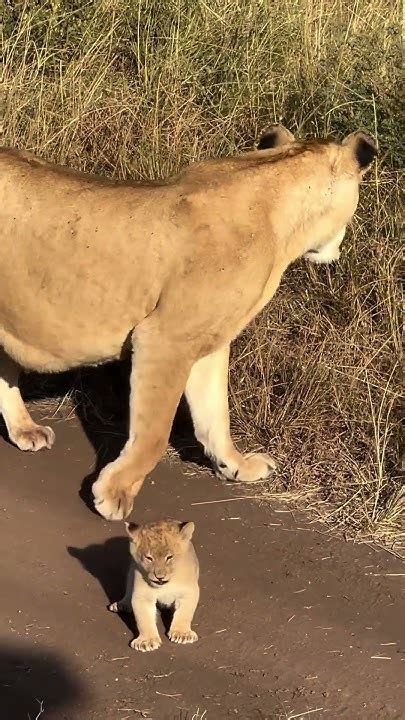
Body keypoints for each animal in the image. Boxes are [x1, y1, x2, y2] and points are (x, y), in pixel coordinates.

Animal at [0, 125, 377, 519]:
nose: (338, 251)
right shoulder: (165, 338)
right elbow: (154, 434)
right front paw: (115, 494)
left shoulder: (210, 342)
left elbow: (216, 414)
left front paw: (236, 466)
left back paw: (25, 429)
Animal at [109, 519, 199, 651]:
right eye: (149, 558)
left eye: (169, 557)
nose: (159, 577)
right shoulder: (143, 596)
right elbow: (144, 619)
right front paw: (146, 641)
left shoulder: (188, 592)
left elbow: (184, 613)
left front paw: (182, 634)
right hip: (132, 570)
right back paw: (122, 604)